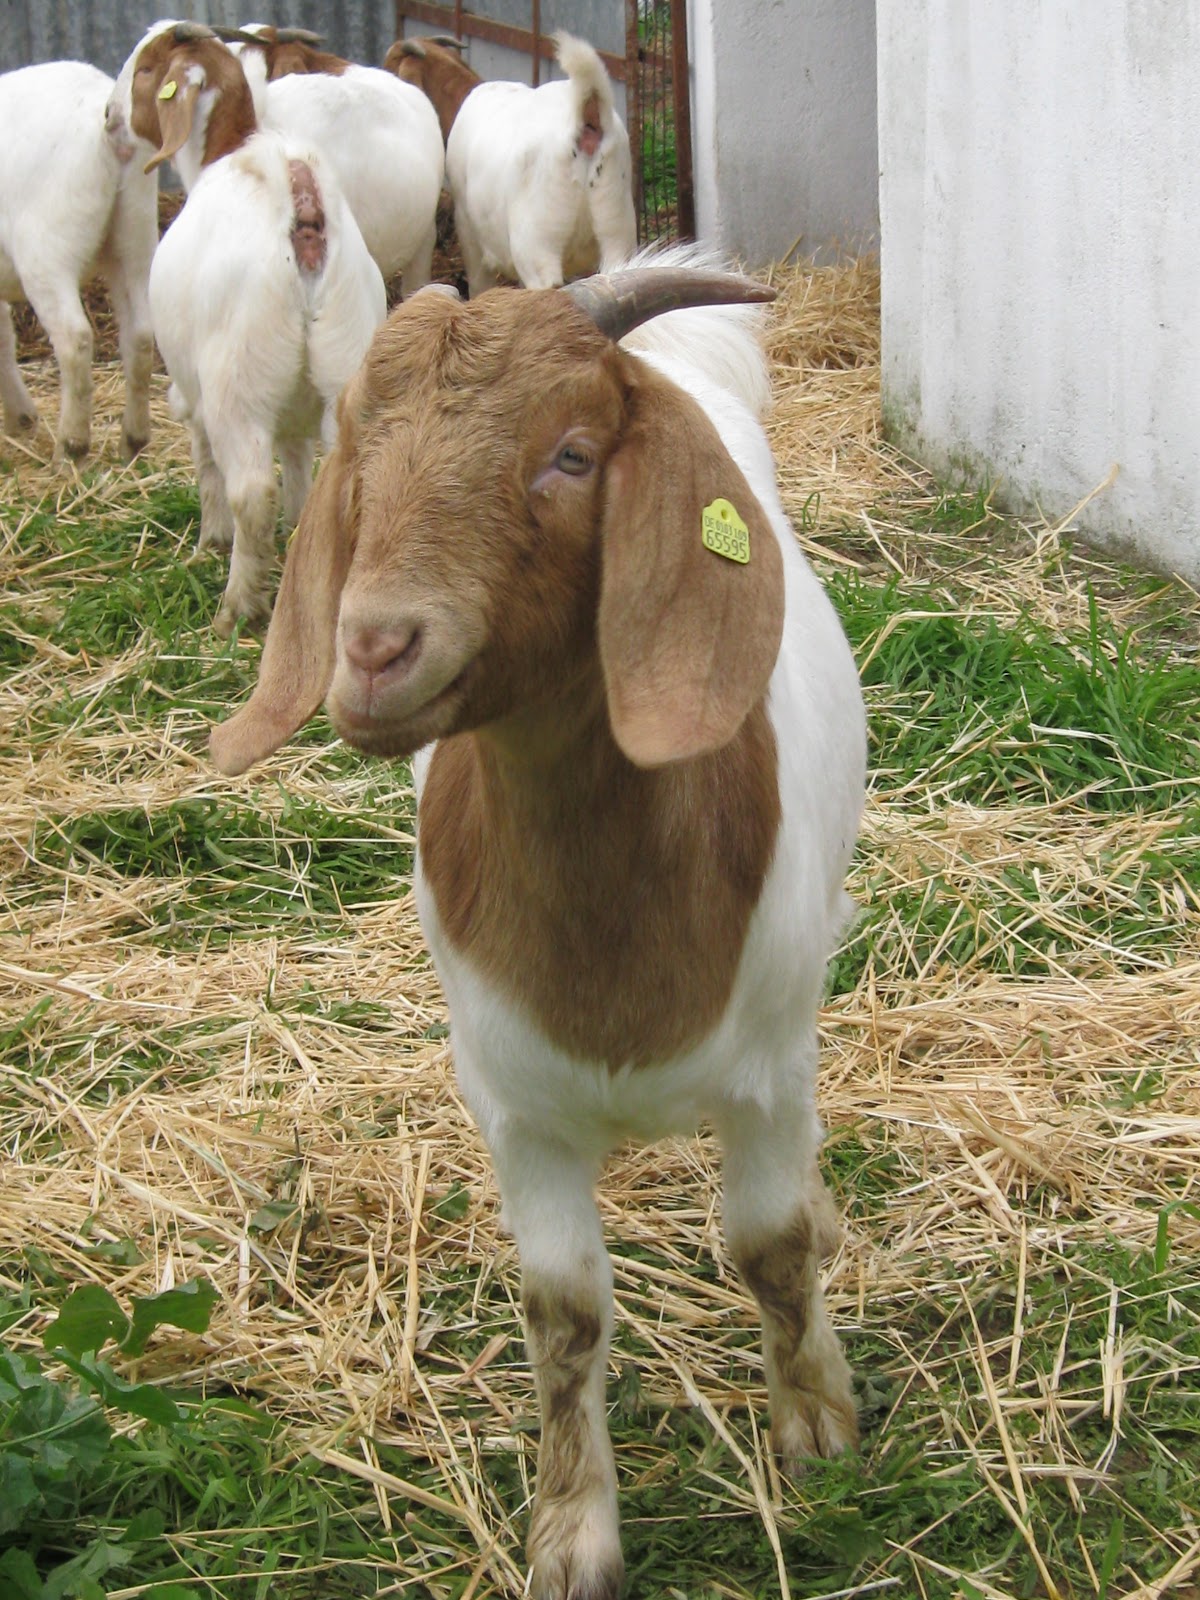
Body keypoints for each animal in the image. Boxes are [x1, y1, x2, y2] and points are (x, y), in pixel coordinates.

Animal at [0, 60, 155, 460]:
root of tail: (110, 120)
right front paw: (21, 420)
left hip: (47, 248)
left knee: (75, 339)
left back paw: (71, 447)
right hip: (135, 232)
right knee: (141, 335)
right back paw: (132, 440)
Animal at [112, 23, 385, 635]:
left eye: (146, 70)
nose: (110, 117)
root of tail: (304, 211)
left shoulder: (193, 392)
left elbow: (206, 463)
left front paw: (209, 541)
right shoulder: (298, 408)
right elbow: (301, 470)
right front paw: (298, 533)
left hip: (236, 382)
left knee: (252, 491)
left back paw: (236, 607)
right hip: (346, 362)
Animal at [211, 255, 867, 1598]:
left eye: (569, 455)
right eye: (360, 459)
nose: (374, 648)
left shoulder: (767, 1069)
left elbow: (772, 1243)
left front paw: (816, 1416)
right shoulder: (516, 1108)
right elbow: (564, 1312)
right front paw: (572, 1533)